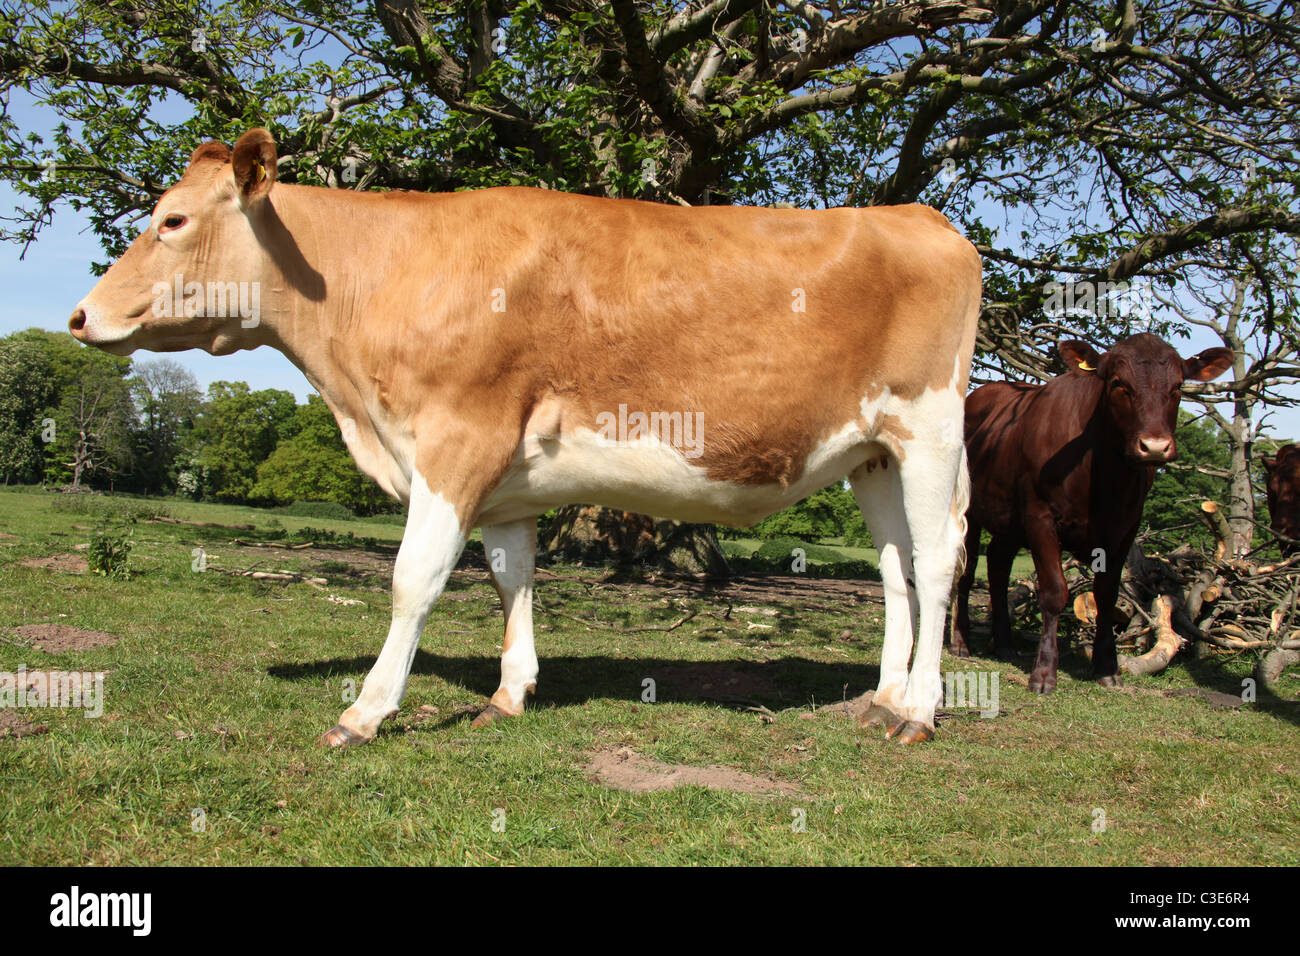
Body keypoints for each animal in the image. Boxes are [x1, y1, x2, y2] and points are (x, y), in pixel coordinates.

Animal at [69, 128, 981, 746]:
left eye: (173, 220)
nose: (78, 316)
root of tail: (922, 216)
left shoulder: (456, 439)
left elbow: (414, 580)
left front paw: (366, 710)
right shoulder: (505, 476)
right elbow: (511, 576)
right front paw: (509, 695)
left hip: (930, 427)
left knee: (937, 558)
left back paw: (920, 712)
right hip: (871, 451)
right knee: (895, 567)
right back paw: (882, 699)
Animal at [952, 333, 1234, 692]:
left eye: (1179, 385)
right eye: (1118, 382)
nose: (1154, 446)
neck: (1102, 477)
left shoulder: (1125, 527)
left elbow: (1107, 595)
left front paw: (1106, 667)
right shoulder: (1041, 518)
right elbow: (1054, 592)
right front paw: (1044, 673)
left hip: (1009, 522)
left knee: (999, 567)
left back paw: (1003, 643)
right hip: (970, 512)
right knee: (967, 570)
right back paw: (961, 643)